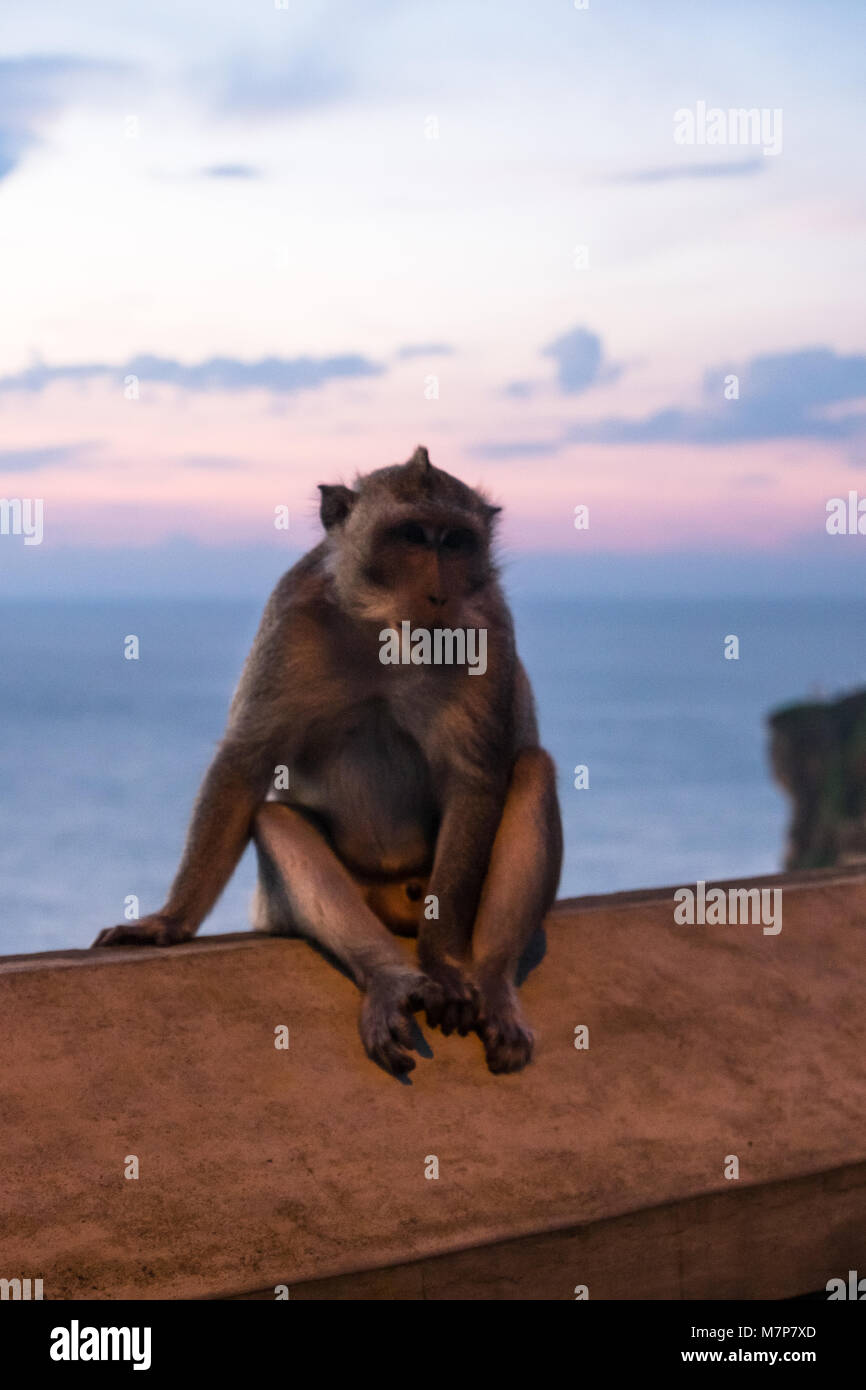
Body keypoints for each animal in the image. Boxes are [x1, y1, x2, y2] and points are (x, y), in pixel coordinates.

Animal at [93, 446, 563, 1076]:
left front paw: (443, 965)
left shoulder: (486, 625)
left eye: (456, 542)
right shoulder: (291, 615)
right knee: (275, 819)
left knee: (532, 769)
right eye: (412, 536)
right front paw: (167, 922)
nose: (439, 594)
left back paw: (488, 982)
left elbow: (474, 782)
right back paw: (388, 978)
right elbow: (247, 758)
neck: (385, 633)